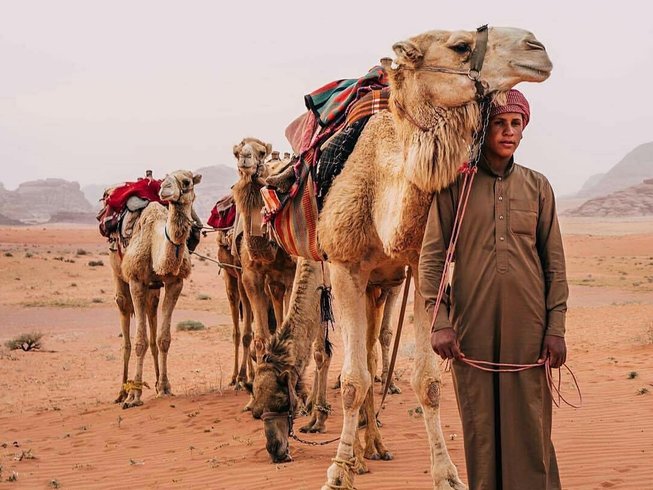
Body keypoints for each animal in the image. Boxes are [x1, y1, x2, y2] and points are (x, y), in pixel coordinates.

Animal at [112, 170, 202, 409]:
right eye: (167, 177)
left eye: (187, 181)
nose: (164, 189)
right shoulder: (136, 281)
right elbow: (139, 341)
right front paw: (134, 395)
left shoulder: (175, 283)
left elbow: (163, 339)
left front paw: (165, 387)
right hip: (119, 273)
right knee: (124, 315)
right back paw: (122, 391)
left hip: (153, 289)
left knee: (152, 312)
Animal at [314, 26, 552, 489]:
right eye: (460, 46)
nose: (538, 47)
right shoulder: (345, 265)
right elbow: (351, 381)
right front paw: (336, 472)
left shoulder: (422, 268)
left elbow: (427, 382)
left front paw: (446, 473)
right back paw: (347, 449)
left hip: (379, 287)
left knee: (372, 350)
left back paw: (372, 447)